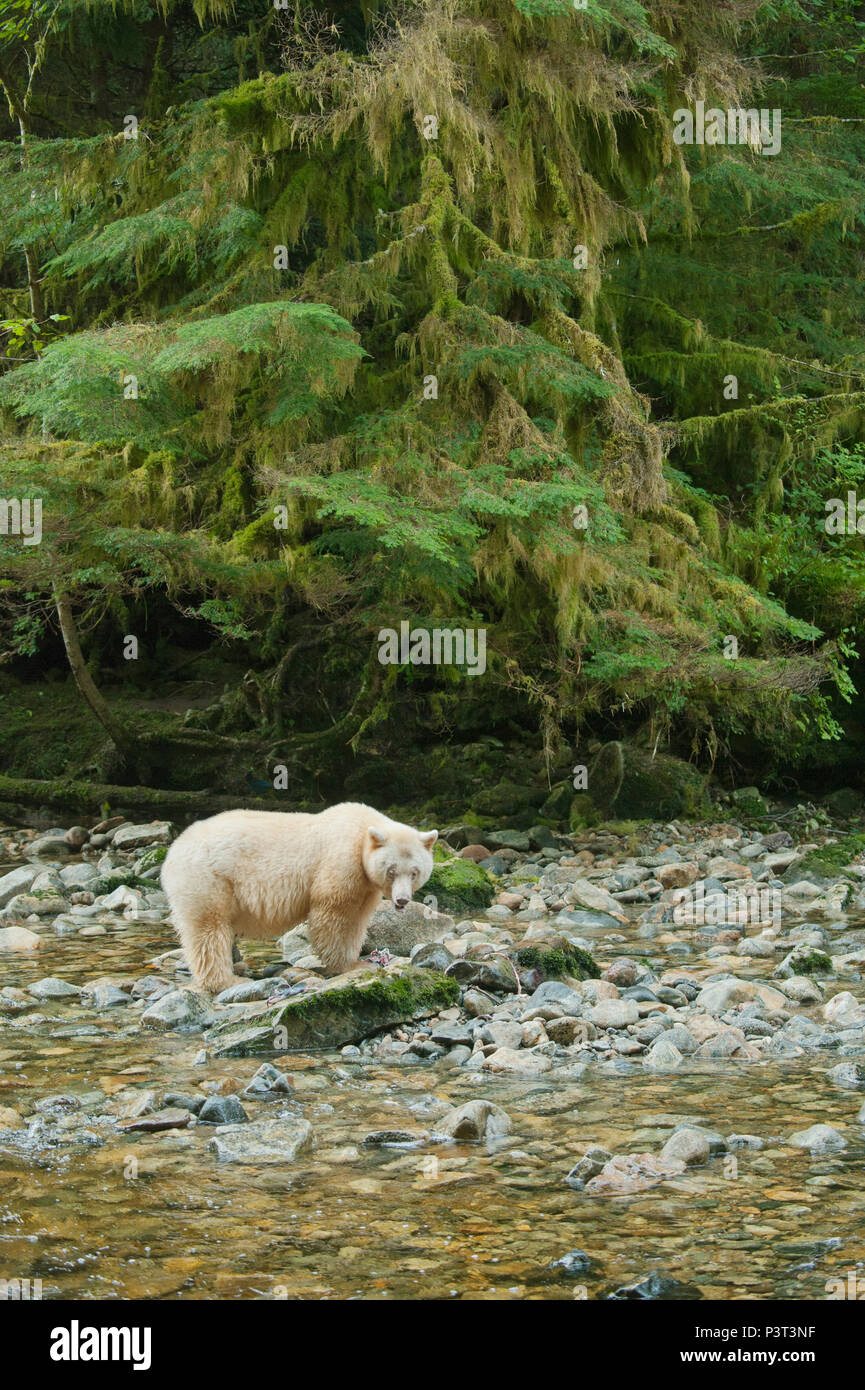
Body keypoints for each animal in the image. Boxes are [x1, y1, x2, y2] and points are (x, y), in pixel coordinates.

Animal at [160, 802, 438, 994]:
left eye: (414, 872)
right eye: (391, 871)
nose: (402, 900)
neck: (363, 830)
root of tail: (174, 851)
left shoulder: (365, 884)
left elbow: (358, 917)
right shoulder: (341, 861)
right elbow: (335, 914)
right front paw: (353, 965)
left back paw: (236, 965)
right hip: (209, 877)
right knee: (209, 928)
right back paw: (227, 979)